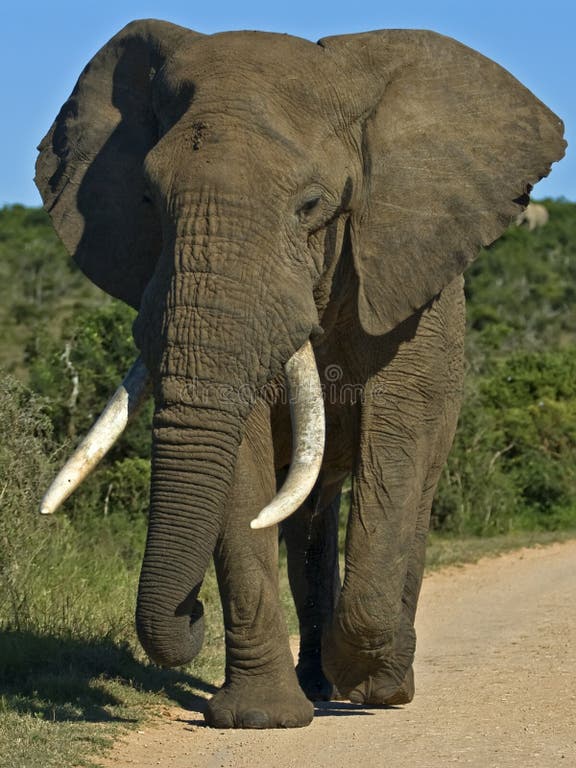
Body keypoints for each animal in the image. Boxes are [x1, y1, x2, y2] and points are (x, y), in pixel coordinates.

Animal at [35, 20, 565, 729]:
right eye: (148, 200)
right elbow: (244, 458)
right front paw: (261, 719)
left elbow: (397, 441)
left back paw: (376, 683)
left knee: (410, 495)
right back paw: (315, 685)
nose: (190, 611)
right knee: (307, 517)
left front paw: (370, 685)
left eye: (311, 205)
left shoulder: (407, 275)